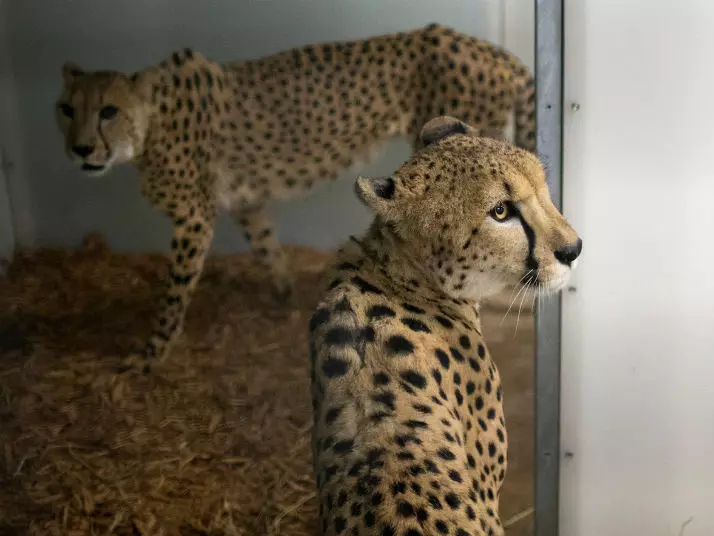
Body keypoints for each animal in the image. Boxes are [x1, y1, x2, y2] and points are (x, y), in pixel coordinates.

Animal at [55, 23, 536, 370]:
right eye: (65, 109)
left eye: (108, 110)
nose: (79, 149)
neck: (150, 123)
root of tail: (498, 52)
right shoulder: (245, 203)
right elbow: (267, 246)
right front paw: (284, 296)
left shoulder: (193, 217)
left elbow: (174, 292)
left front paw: (151, 353)